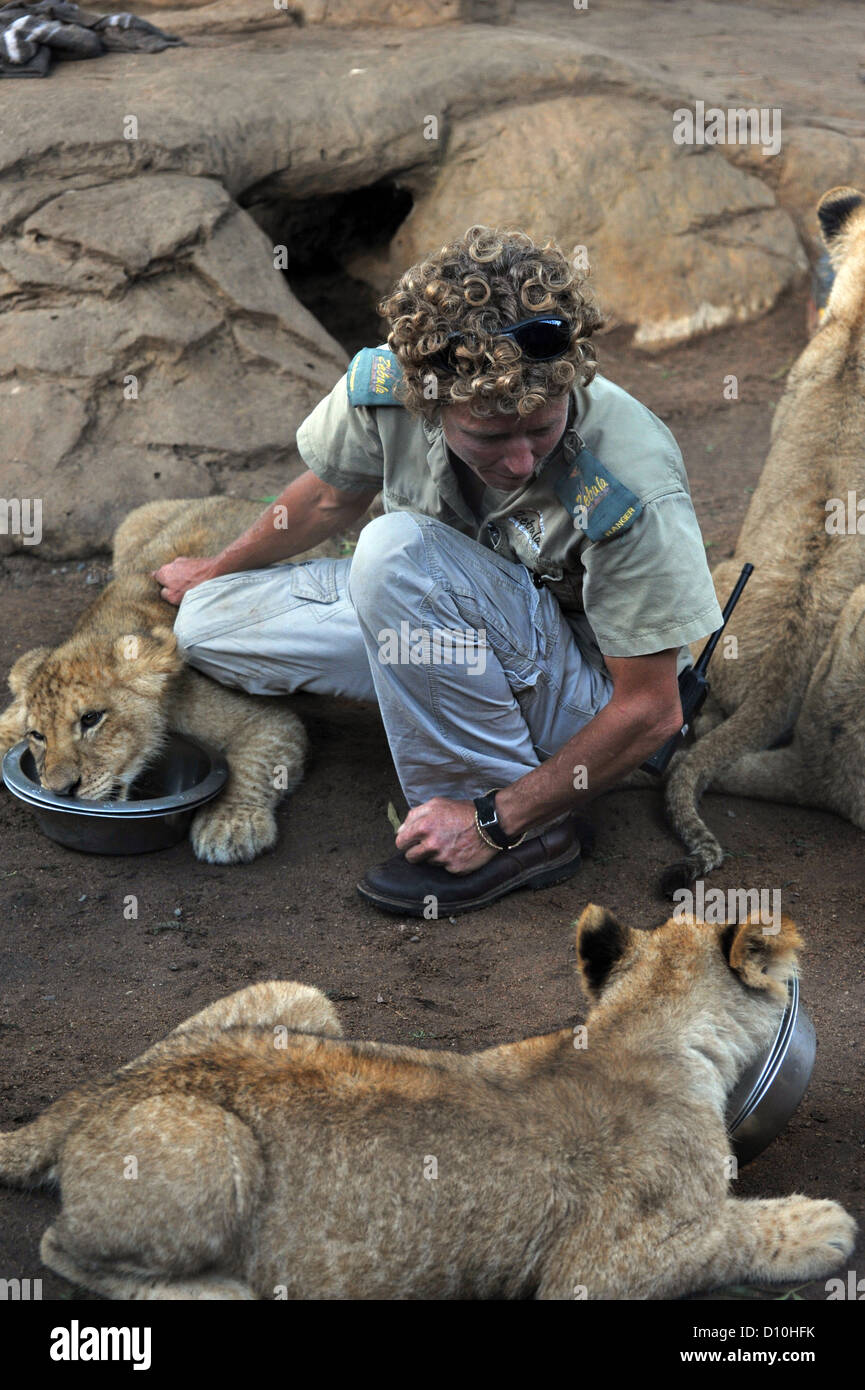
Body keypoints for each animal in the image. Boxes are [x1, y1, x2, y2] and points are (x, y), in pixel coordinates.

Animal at [0, 497, 334, 864]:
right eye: (37, 735)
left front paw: (230, 823)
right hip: (132, 524)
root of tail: (239, 498)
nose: (62, 791)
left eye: (91, 719)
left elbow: (252, 766)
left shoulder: (270, 721)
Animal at [0, 904, 854, 1300]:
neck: (638, 1029)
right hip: (215, 1149)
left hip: (298, 999)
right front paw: (818, 1224)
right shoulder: (591, 1269)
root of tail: (97, 1093)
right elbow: (719, 1231)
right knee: (57, 1246)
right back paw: (218, 1290)